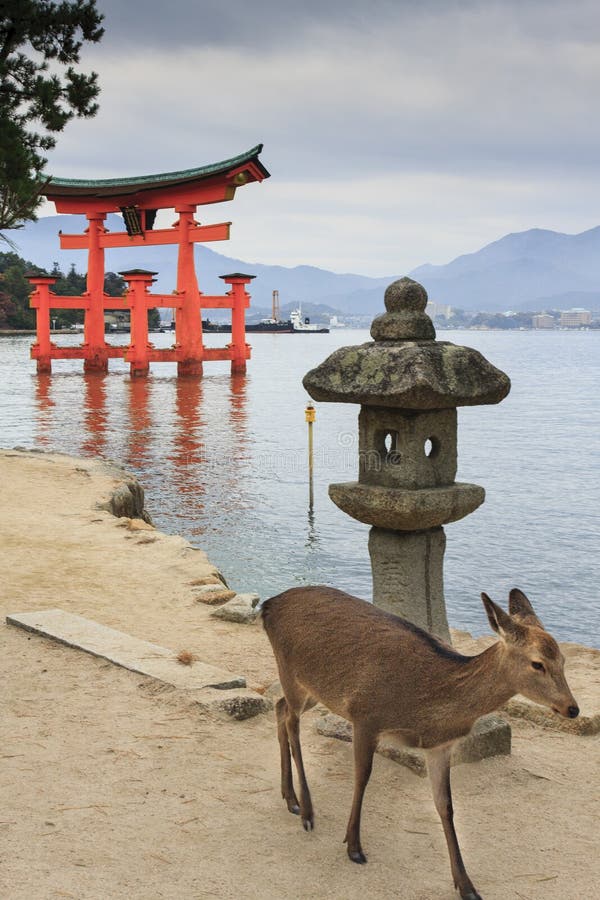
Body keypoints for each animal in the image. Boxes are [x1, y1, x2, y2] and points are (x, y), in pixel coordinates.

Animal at [261, 585, 579, 900]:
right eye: (537, 663)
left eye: (563, 661)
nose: (572, 708)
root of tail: (267, 605)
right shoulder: (365, 717)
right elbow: (362, 778)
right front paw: (354, 846)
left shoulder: (440, 747)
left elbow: (445, 805)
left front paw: (466, 885)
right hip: (291, 673)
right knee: (291, 723)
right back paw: (307, 811)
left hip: (316, 690)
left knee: (279, 708)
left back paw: (290, 798)